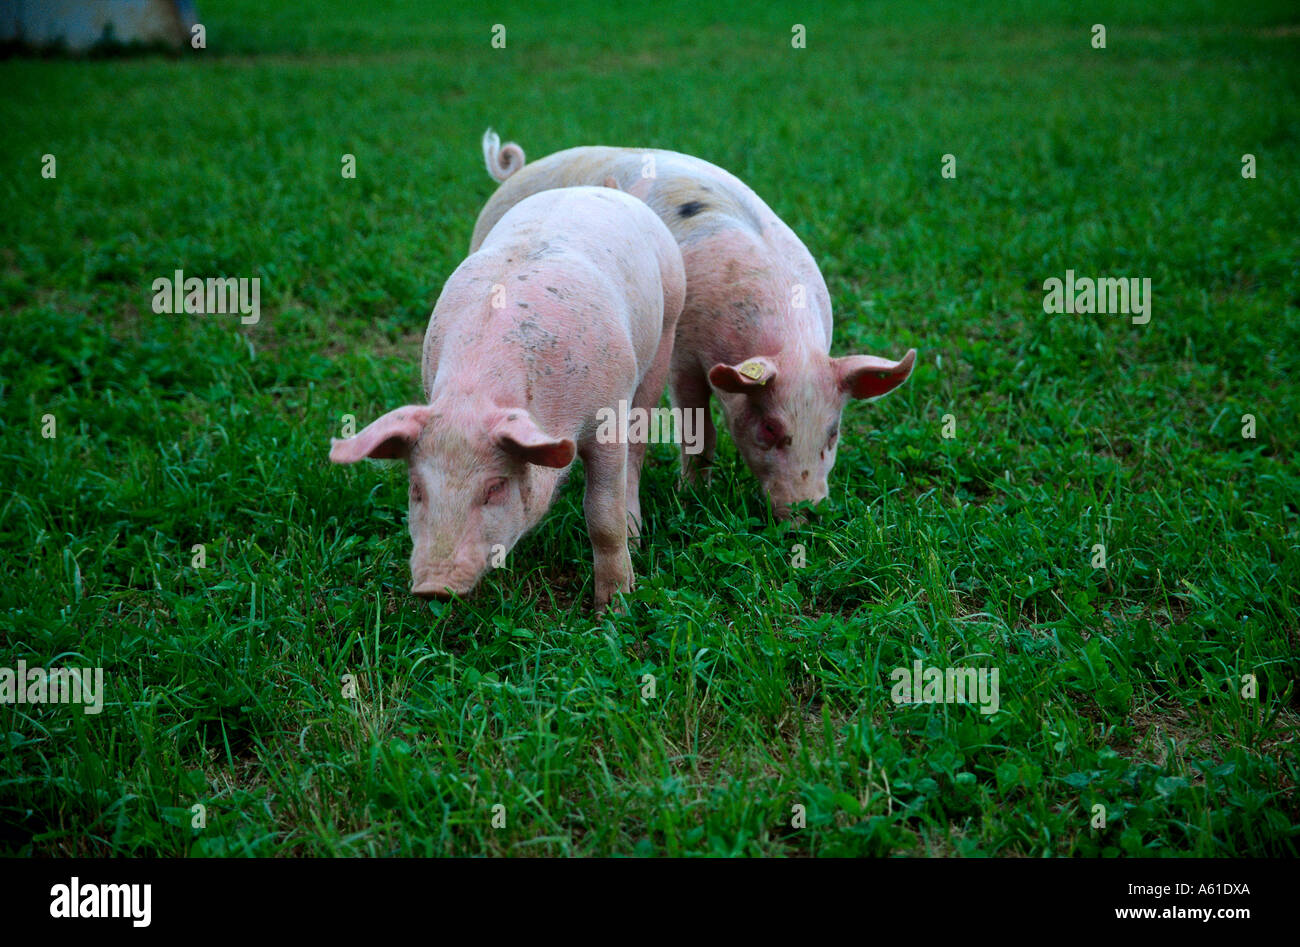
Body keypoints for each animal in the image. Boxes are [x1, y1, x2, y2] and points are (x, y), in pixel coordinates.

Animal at [330, 186, 686, 611]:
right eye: (416, 489)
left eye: (495, 488)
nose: (434, 586)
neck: (472, 396)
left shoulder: (608, 413)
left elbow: (602, 512)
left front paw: (613, 608)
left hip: (666, 331)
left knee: (637, 448)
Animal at [472, 130, 917, 519]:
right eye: (771, 428)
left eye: (833, 432)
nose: (807, 512)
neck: (788, 346)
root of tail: (518, 172)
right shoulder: (682, 355)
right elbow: (698, 428)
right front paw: (691, 497)